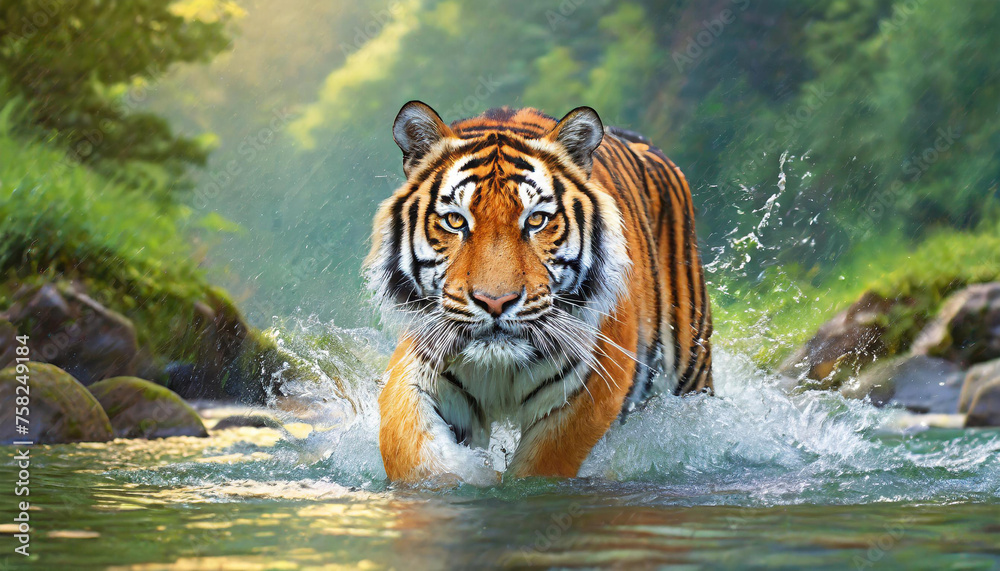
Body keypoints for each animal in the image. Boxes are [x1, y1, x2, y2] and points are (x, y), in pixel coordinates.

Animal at [366, 101, 712, 485]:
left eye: (536, 220)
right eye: (455, 221)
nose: (495, 302)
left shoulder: (594, 379)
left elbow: (544, 464)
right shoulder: (422, 359)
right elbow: (410, 448)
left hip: (691, 368)